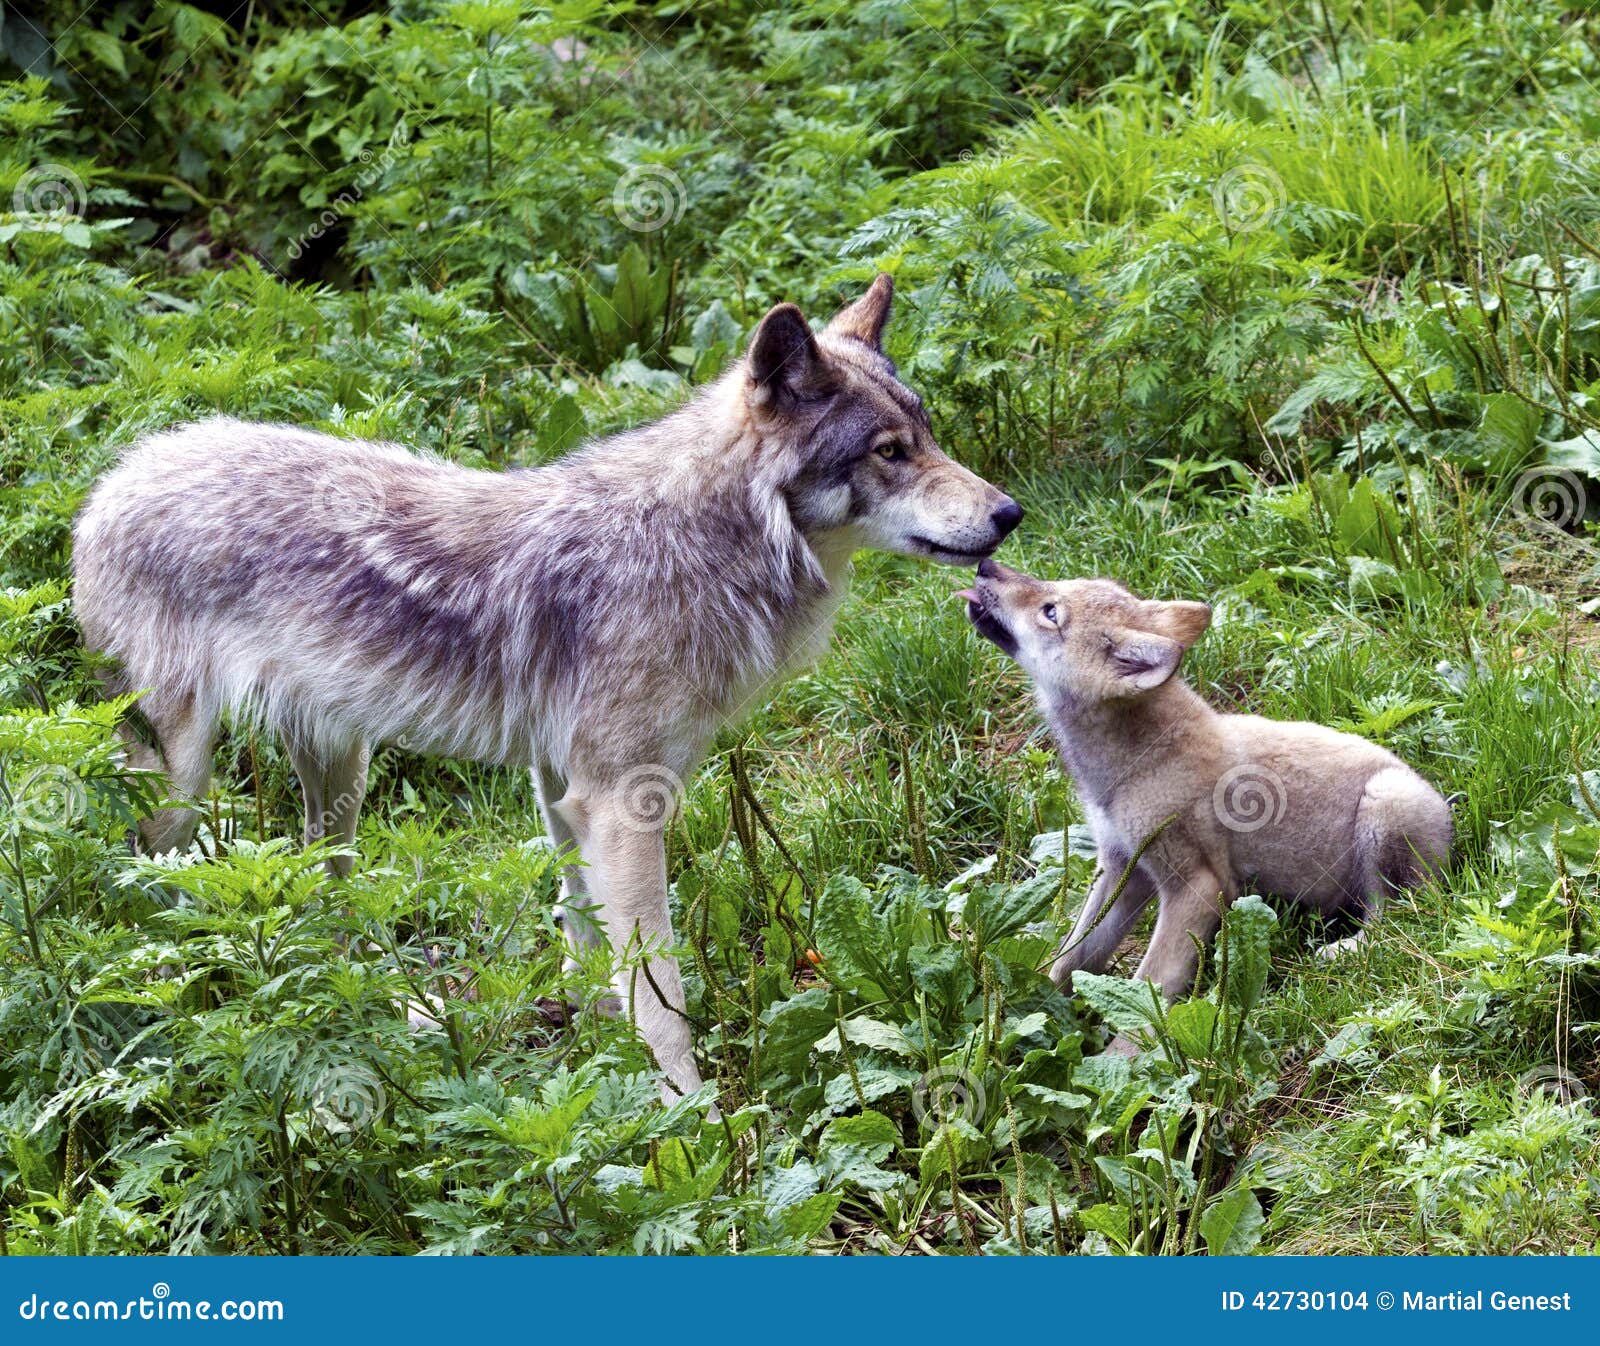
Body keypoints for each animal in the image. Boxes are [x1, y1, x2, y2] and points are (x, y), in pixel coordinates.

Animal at [72, 275, 1022, 1101]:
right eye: (890, 453)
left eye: (928, 435)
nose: (1010, 513)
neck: (703, 542)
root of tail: (115, 477)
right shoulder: (624, 804)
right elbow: (660, 991)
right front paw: (689, 1118)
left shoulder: (564, 790)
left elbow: (588, 943)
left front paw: (597, 1063)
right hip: (185, 783)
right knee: (149, 893)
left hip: (342, 776)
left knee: (321, 900)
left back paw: (379, 1015)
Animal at [961, 560, 1450, 1008]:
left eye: (1050, 611)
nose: (986, 564)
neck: (1138, 763)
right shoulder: (1124, 869)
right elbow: (1071, 960)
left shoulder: (1197, 887)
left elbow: (1150, 991)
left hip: (1383, 810)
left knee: (1395, 919)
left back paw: (1345, 951)